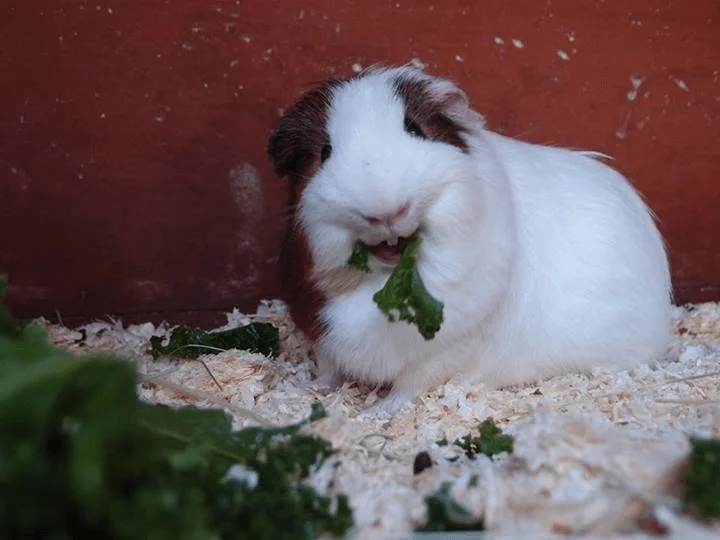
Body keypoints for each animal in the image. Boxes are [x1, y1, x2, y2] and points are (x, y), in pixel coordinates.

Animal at [267, 64, 673, 415]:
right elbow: (329, 371)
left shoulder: (446, 350)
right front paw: (304, 389)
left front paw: (379, 411)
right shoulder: (322, 336)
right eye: (324, 153)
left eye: (415, 129)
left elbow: (409, 384)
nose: (387, 211)